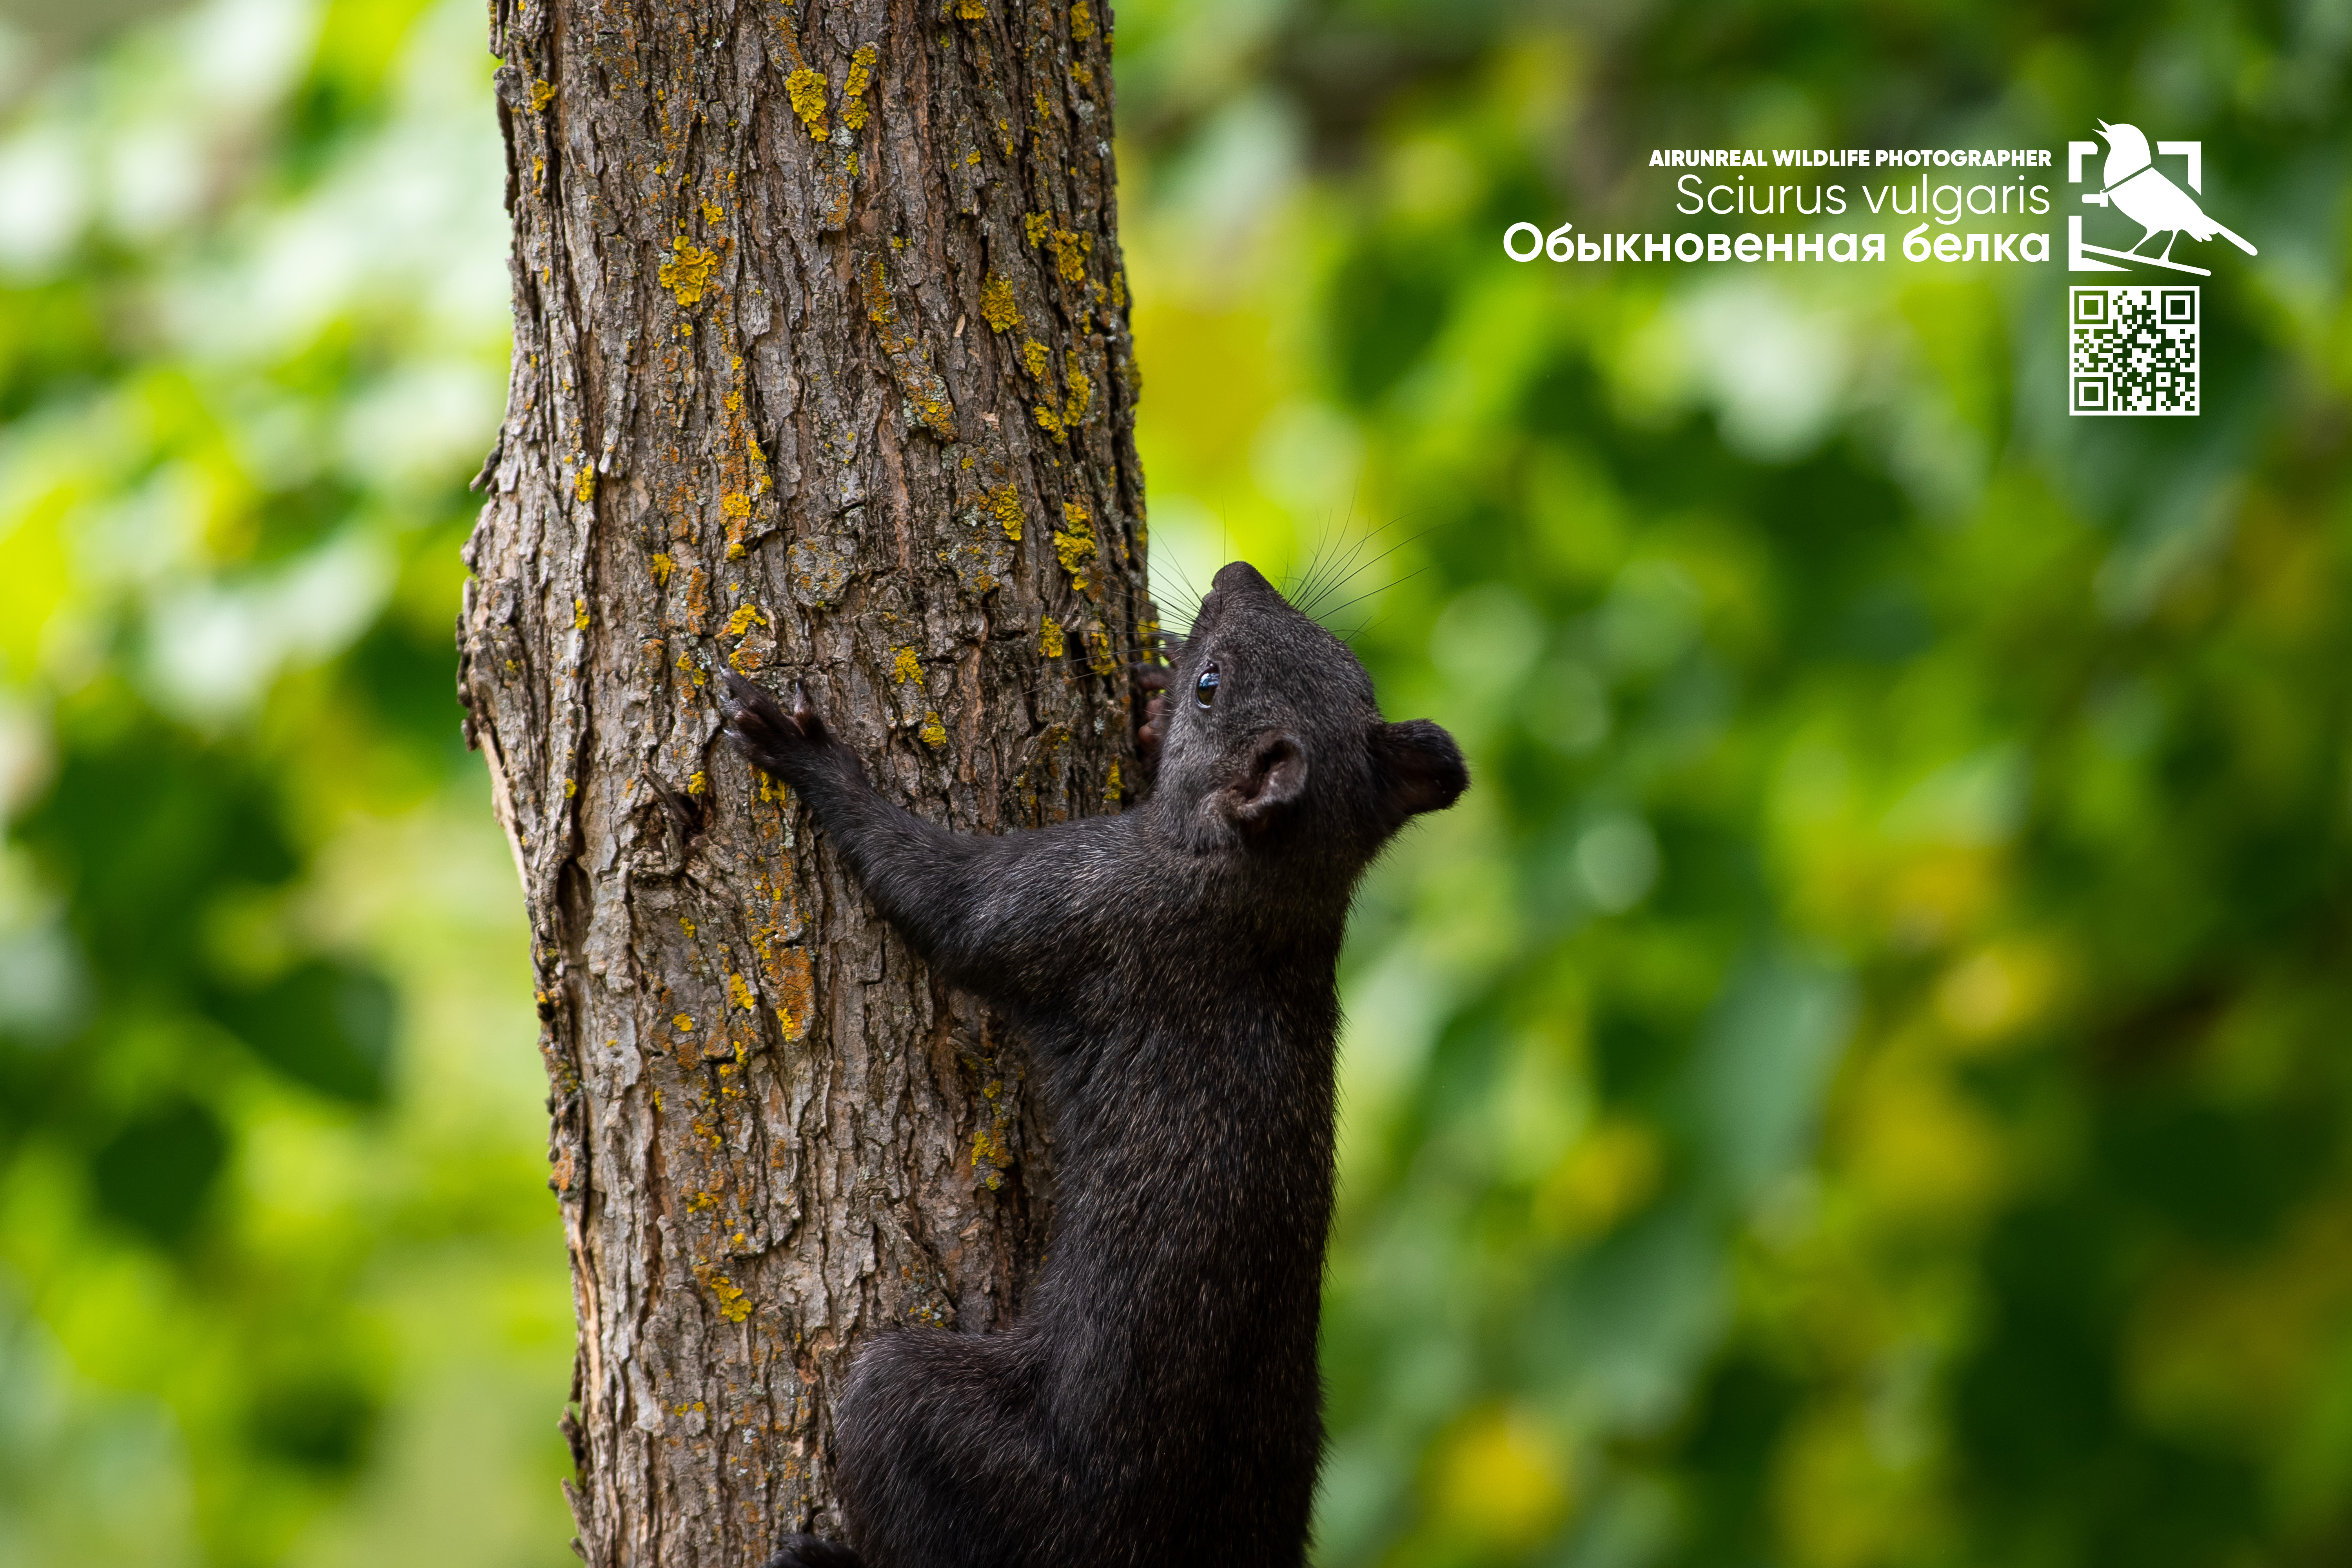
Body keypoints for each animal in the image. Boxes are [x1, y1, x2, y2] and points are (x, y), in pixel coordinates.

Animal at [724, 564, 1468, 1568]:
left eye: (1214, 687)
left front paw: (809, 758)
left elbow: (944, 900)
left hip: (944, 1428)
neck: (1266, 891)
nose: (1234, 573)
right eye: (1354, 670)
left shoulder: (1080, 906)